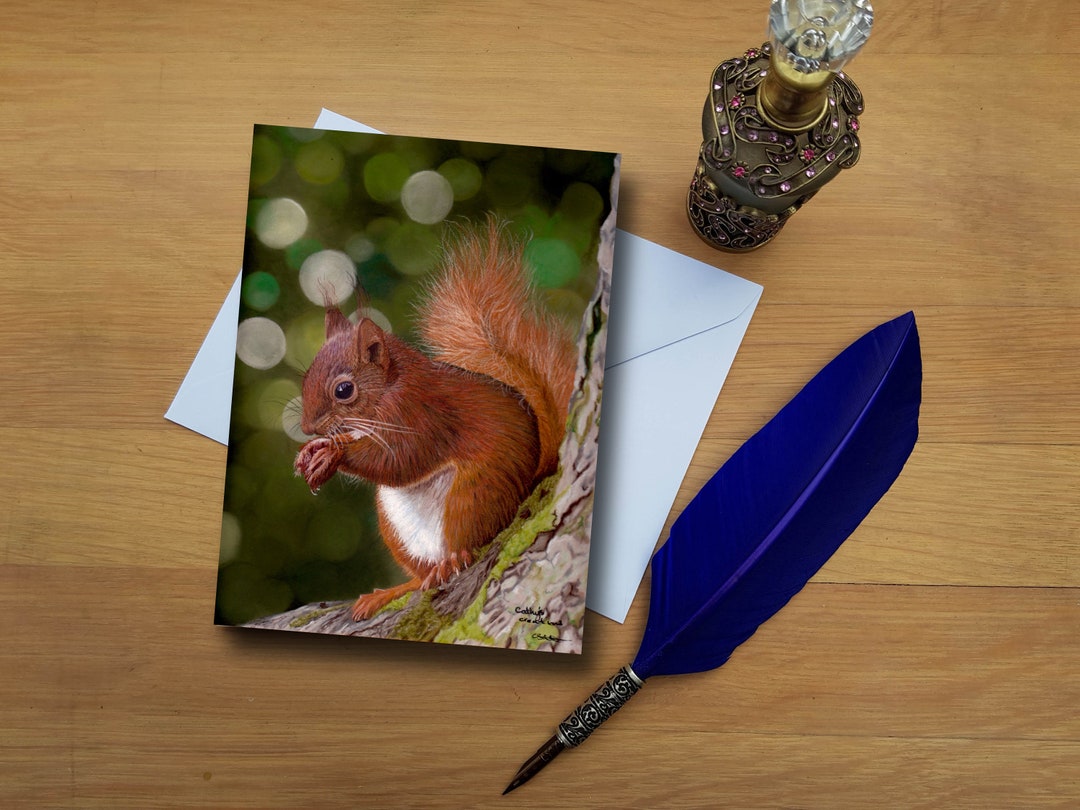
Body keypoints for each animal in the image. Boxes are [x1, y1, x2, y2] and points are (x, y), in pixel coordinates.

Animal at [294, 221, 578, 620]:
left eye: (344, 390)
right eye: (306, 378)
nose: (308, 428)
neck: (390, 387)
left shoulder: (422, 413)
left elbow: (401, 458)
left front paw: (331, 453)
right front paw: (313, 450)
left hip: (473, 494)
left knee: (468, 540)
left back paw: (451, 561)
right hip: (395, 528)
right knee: (419, 575)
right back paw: (393, 590)